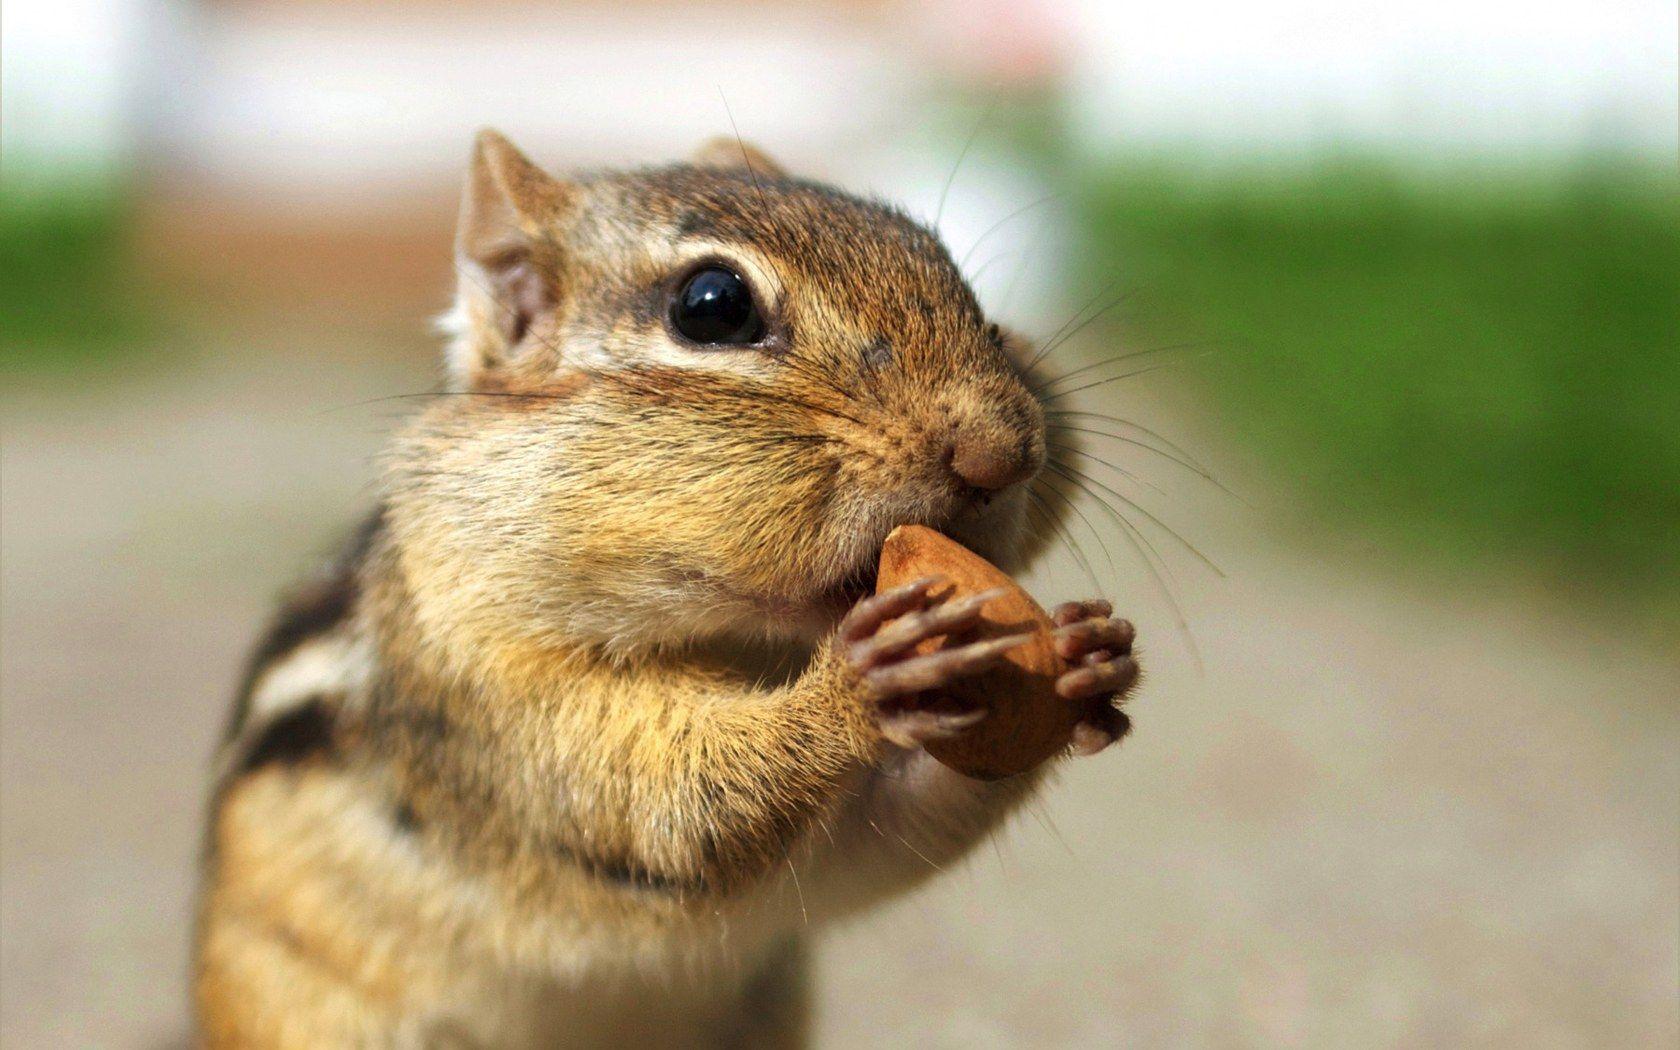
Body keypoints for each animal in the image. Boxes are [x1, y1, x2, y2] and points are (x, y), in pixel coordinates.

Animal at [193, 130, 1141, 1049]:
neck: (745, 642)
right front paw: (864, 677)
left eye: (963, 285)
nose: (1004, 451)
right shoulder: (488, 697)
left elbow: (899, 828)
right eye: (712, 304)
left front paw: (1089, 657)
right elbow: (672, 799)